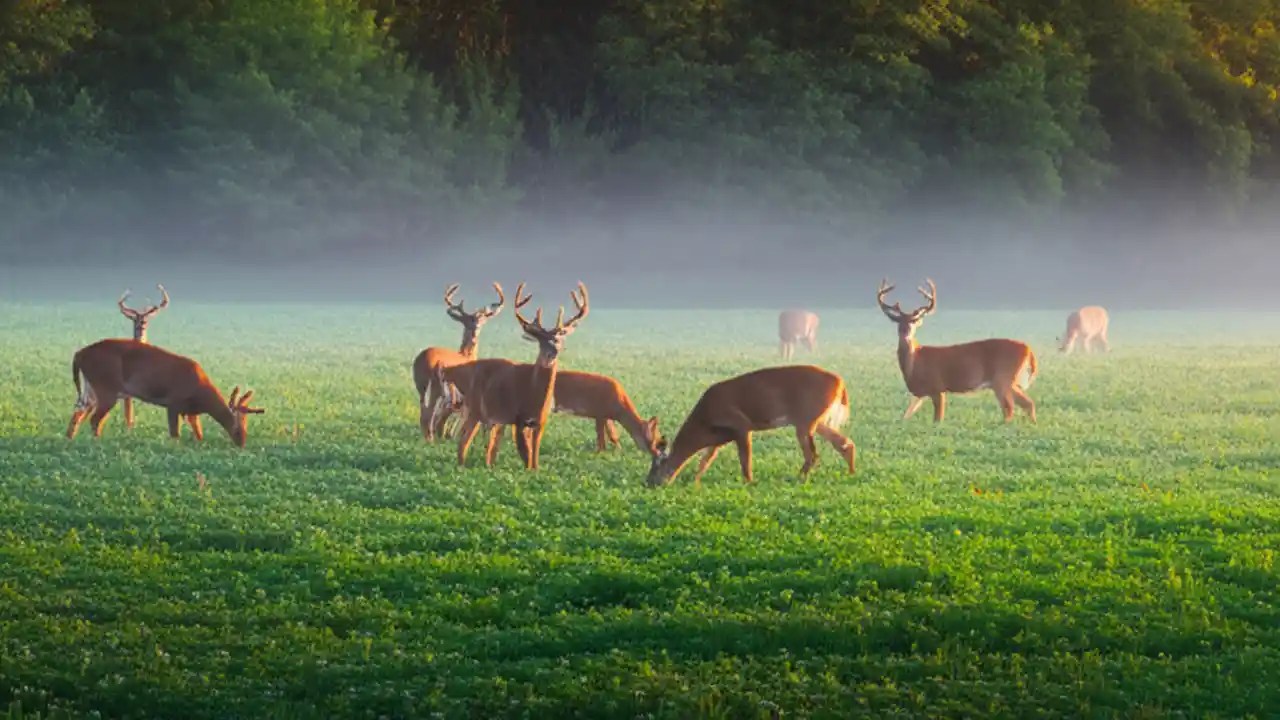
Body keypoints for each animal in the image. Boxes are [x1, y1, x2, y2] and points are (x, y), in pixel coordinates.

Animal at [66, 338, 264, 446]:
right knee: (95, 419)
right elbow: (174, 433)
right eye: (238, 427)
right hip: (106, 386)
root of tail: (78, 354)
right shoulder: (173, 402)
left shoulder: (189, 411)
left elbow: (198, 432)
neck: (201, 395)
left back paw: (70, 440)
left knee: (78, 414)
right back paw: (97, 443)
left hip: (90, 388)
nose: (242, 443)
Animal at [411, 282, 505, 441]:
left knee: (423, 409)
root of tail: (424, 359)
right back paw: (430, 438)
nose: (475, 330)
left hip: (420, 383)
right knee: (430, 411)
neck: (466, 355)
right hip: (437, 385)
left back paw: (427, 437)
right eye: (468, 321)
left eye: (481, 320)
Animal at [439, 282, 589, 470]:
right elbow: (527, 459)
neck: (534, 396)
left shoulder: (540, 423)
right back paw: (461, 467)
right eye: (541, 342)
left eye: (559, 341)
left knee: (485, 447)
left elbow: (534, 459)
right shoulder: (518, 419)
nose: (552, 353)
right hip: (474, 409)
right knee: (463, 441)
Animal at [645, 365, 856, 488]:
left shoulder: (741, 425)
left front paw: (749, 482)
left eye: (656, 467)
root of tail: (840, 382)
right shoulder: (719, 438)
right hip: (814, 419)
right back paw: (851, 473)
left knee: (813, 454)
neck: (704, 422)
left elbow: (745, 459)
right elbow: (706, 459)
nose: (647, 483)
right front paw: (695, 481)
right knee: (844, 442)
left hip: (806, 418)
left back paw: (797, 478)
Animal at [876, 278, 1037, 423]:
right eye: (899, 322)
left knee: (1010, 407)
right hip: (1007, 381)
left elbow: (938, 419)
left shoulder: (938, 387)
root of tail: (1028, 349)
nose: (905, 332)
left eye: (914, 321)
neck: (915, 362)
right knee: (1026, 404)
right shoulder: (920, 394)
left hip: (1003, 377)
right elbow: (906, 415)